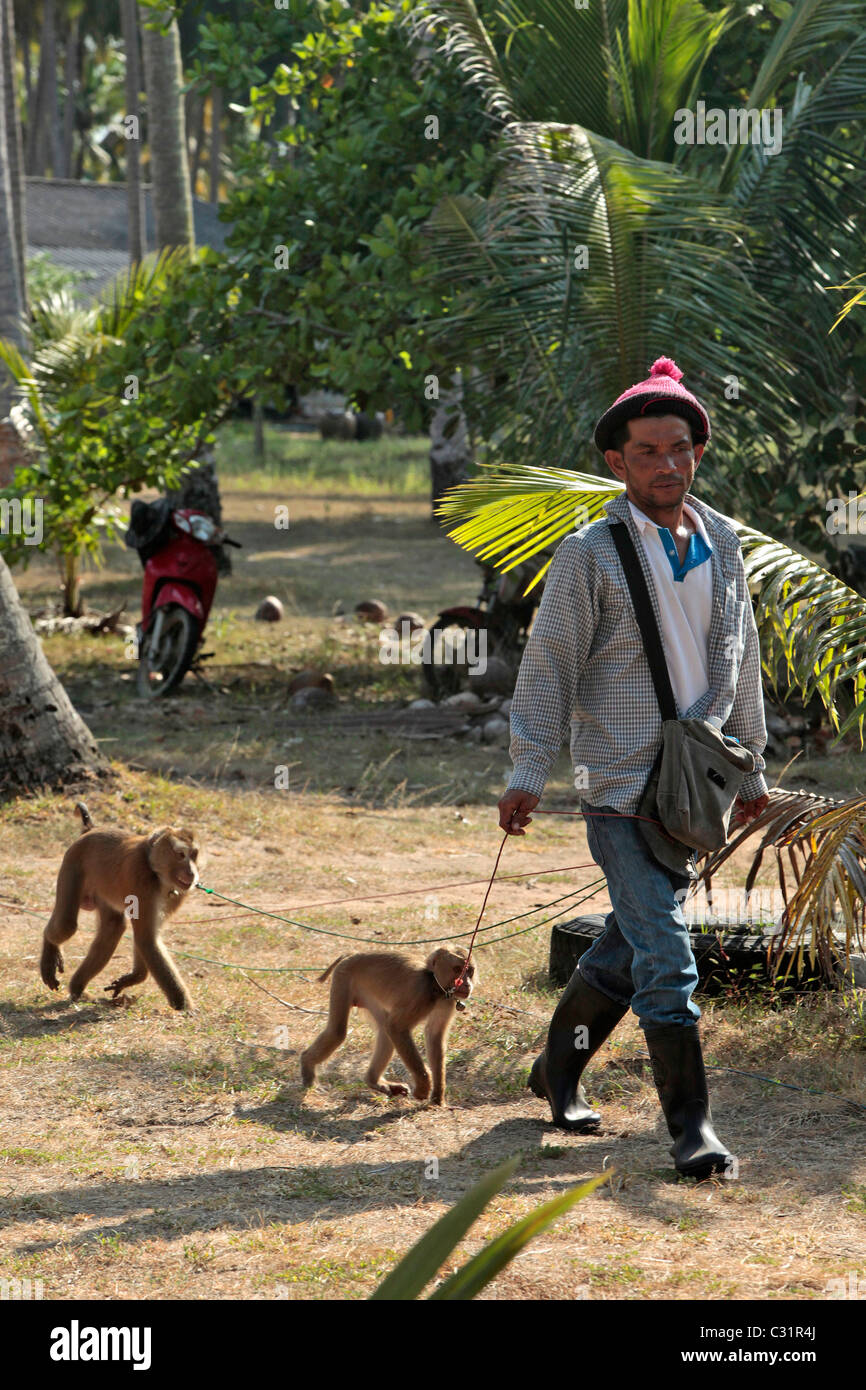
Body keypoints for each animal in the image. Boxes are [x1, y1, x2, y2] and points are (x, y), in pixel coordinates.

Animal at [40, 814, 200, 1012]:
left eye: (194, 856)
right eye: (181, 855)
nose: (192, 872)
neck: (154, 870)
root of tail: (91, 830)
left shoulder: (177, 894)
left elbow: (147, 937)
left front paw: (135, 976)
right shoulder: (141, 881)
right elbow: (147, 939)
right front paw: (183, 1006)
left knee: (113, 927)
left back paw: (78, 989)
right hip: (72, 863)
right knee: (66, 924)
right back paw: (50, 949)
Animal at [300, 947, 477, 1106]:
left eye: (470, 971)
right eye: (458, 969)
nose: (467, 984)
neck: (434, 986)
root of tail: (354, 954)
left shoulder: (447, 1002)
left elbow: (434, 1036)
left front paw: (438, 1096)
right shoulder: (419, 994)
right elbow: (396, 1028)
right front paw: (423, 1087)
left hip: (367, 994)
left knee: (384, 1033)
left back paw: (374, 1081)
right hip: (343, 977)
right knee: (338, 1032)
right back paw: (307, 1066)